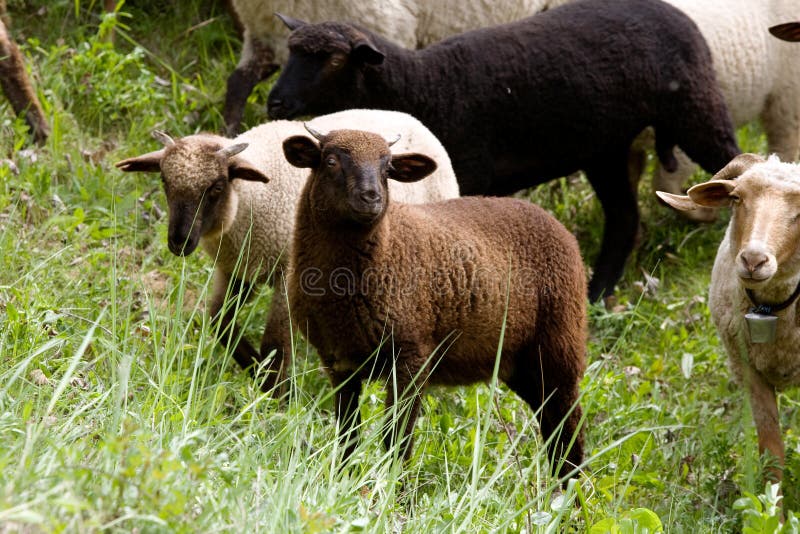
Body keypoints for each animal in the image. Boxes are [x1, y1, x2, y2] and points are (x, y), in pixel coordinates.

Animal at [115, 109, 459, 393]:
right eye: (164, 180)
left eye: (216, 187)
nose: (179, 242)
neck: (248, 198)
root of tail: (416, 121)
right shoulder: (237, 270)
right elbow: (220, 322)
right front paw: (254, 368)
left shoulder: (286, 274)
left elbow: (275, 344)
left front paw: (274, 392)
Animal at [266, 0, 741, 302]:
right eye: (290, 54)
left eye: (331, 60)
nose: (275, 103)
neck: (425, 86)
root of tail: (674, 12)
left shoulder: (470, 172)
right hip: (605, 143)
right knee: (624, 217)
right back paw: (599, 293)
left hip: (695, 105)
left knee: (734, 162)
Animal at [285, 128, 587, 479]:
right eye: (331, 161)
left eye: (388, 168)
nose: (372, 197)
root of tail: (558, 226)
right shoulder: (338, 362)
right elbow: (347, 435)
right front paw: (343, 480)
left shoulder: (412, 355)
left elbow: (397, 439)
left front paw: (394, 490)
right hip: (521, 362)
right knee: (553, 429)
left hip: (559, 344)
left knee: (570, 428)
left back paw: (570, 492)